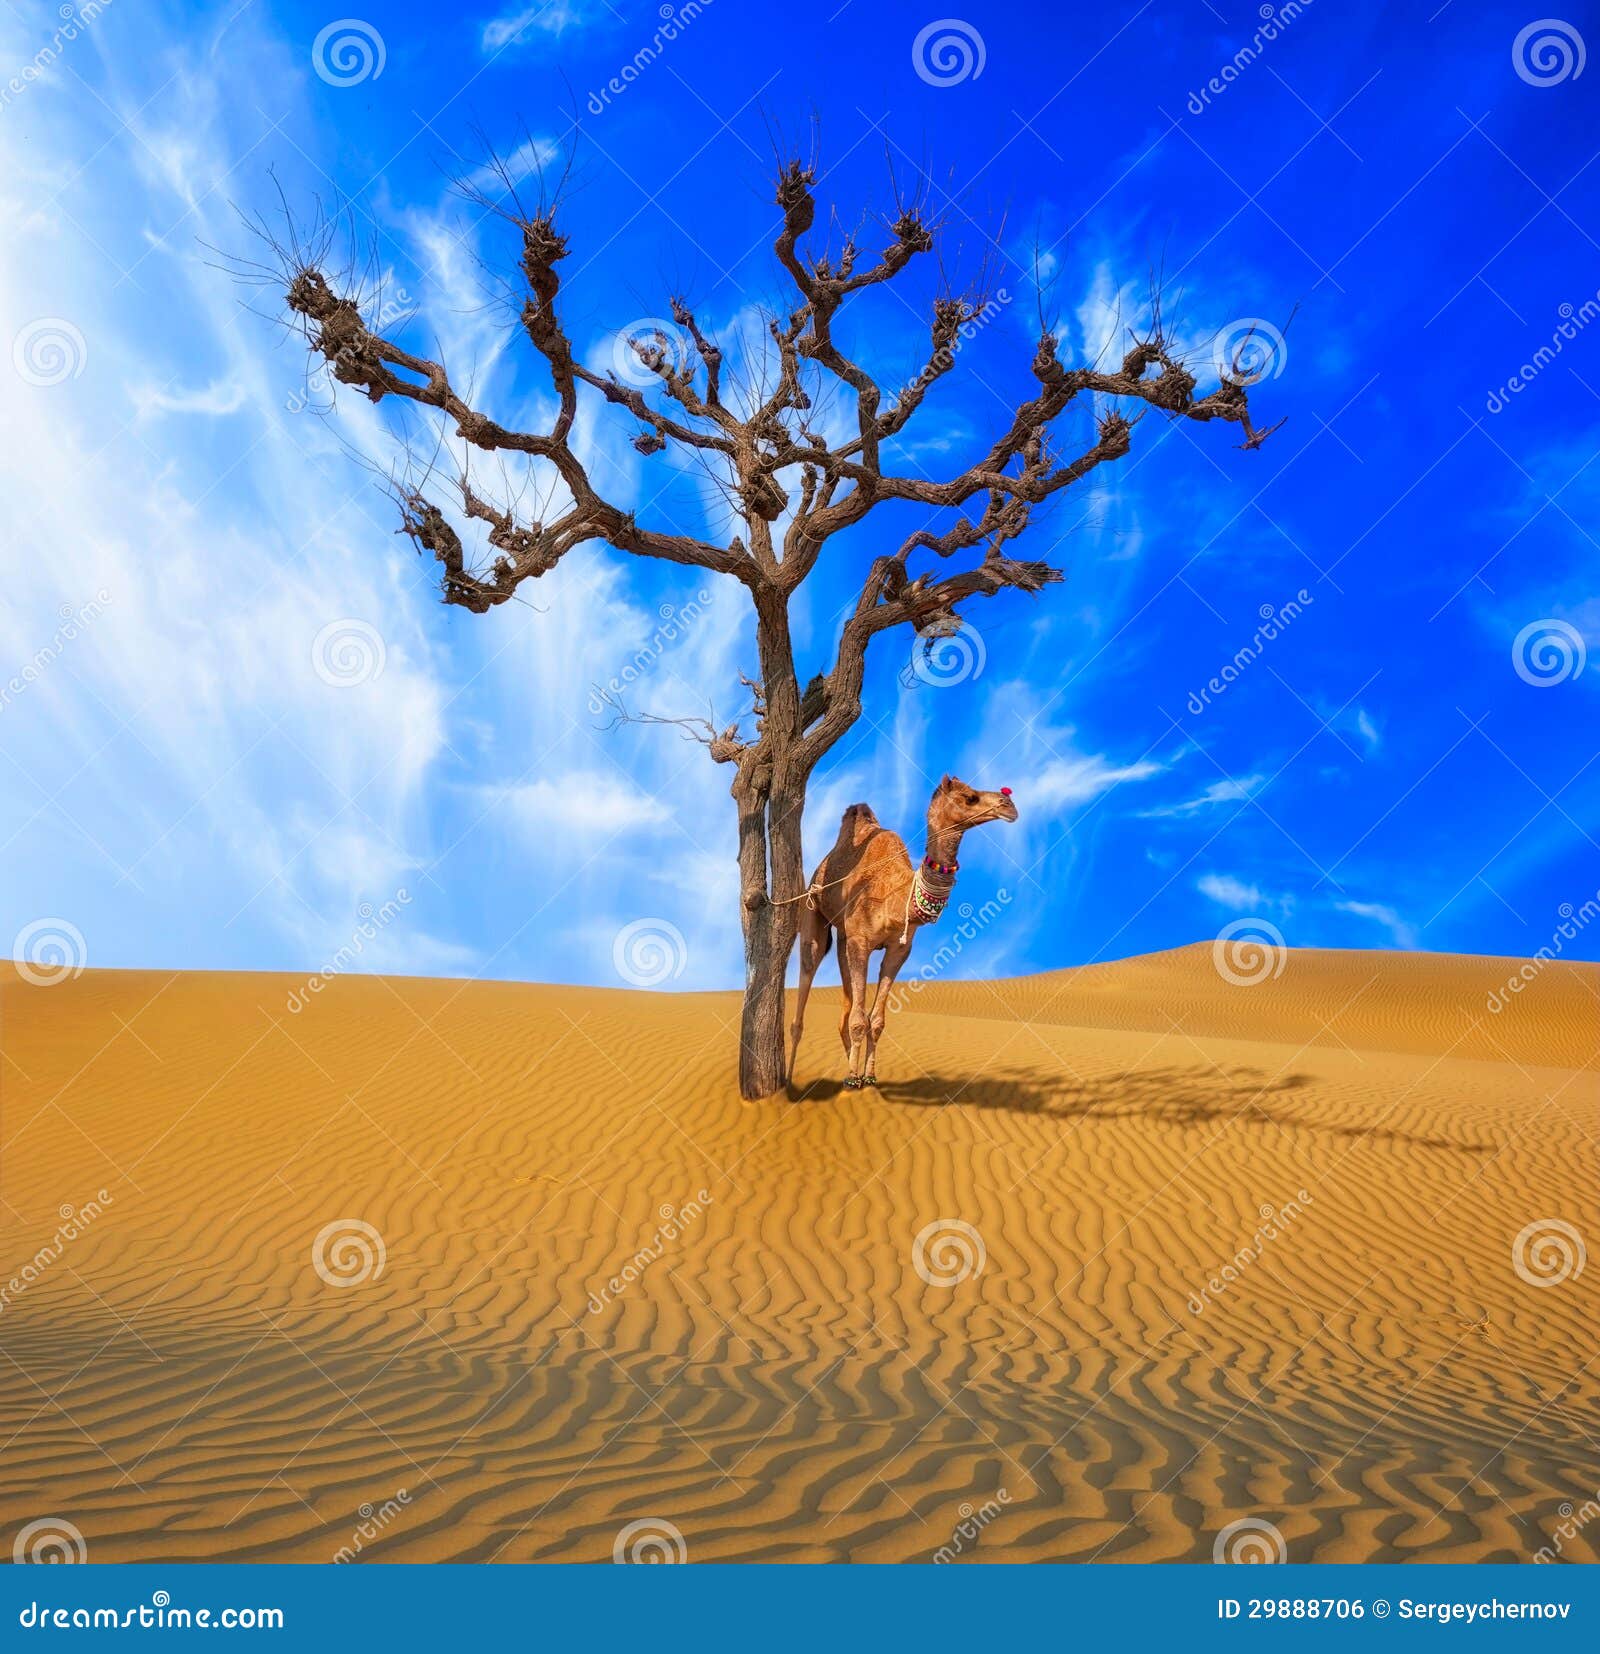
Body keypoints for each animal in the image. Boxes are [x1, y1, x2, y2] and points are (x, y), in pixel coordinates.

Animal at [788, 775, 1019, 1091]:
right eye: (970, 797)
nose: (1009, 805)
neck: (896, 894)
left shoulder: (899, 949)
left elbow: (876, 1020)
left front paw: (868, 1077)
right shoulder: (861, 942)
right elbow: (860, 1020)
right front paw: (853, 1078)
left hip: (844, 938)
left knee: (844, 1010)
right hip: (813, 912)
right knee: (807, 980)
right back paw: (787, 1080)